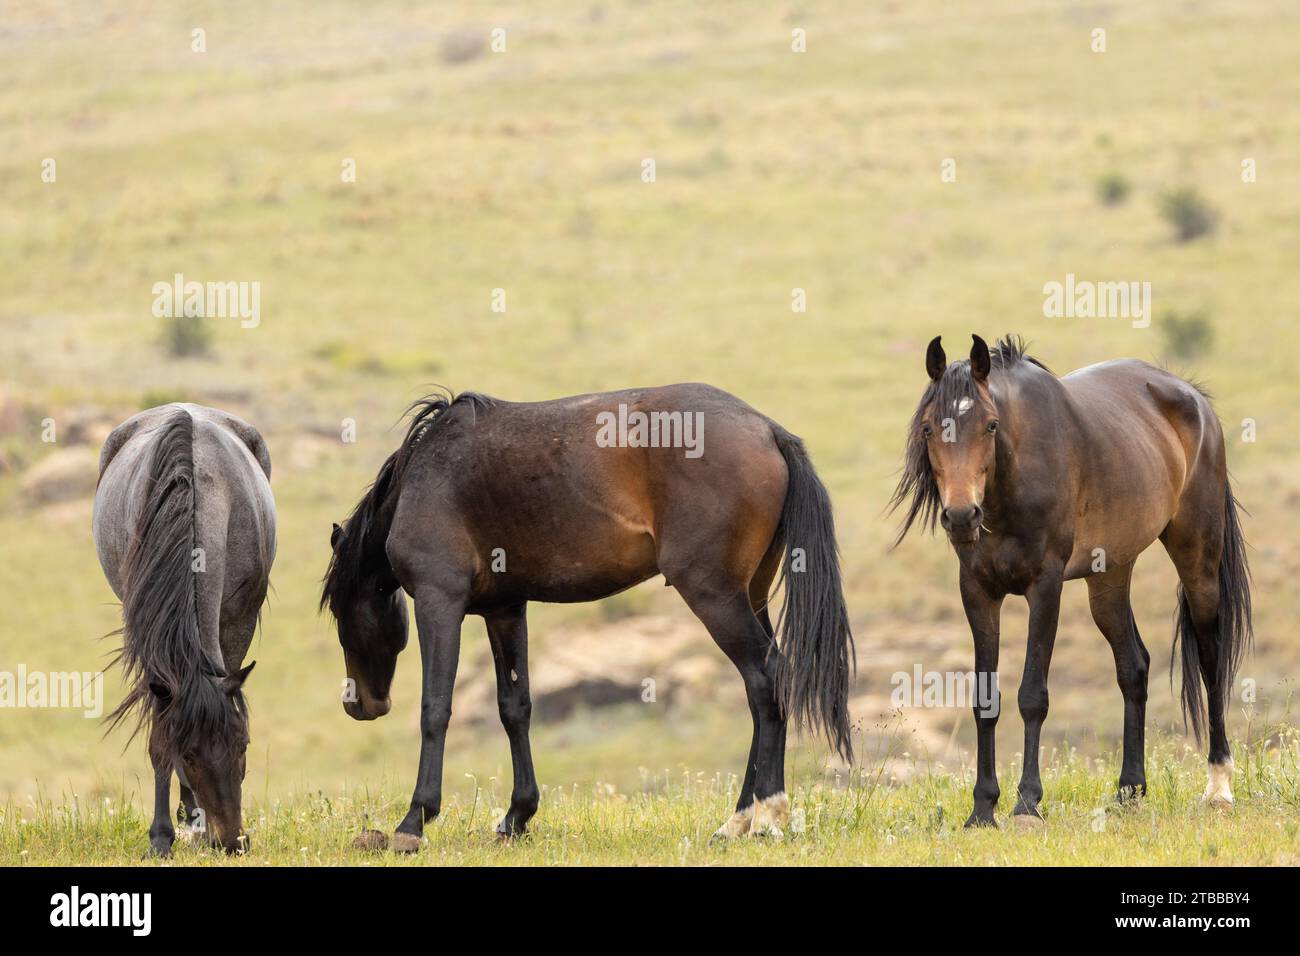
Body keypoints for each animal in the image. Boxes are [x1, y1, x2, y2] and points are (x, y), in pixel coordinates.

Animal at [93, 404, 276, 855]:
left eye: (242, 744)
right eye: (188, 756)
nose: (232, 841)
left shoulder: (238, 621)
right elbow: (159, 734)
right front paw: (161, 836)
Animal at [322, 385, 854, 850]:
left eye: (341, 614)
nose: (360, 704)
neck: (426, 477)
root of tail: (767, 430)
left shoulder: (439, 602)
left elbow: (435, 708)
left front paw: (414, 821)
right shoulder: (504, 609)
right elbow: (515, 708)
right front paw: (517, 816)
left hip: (715, 596)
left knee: (764, 683)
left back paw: (760, 815)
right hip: (751, 595)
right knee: (765, 687)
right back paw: (744, 818)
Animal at [891, 334, 1251, 827]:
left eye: (990, 426)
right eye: (929, 429)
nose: (963, 516)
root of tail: (1193, 397)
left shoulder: (1046, 587)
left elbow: (1032, 696)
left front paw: (1027, 803)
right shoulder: (978, 592)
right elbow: (985, 701)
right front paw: (983, 807)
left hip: (1197, 558)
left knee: (1212, 660)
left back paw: (1219, 787)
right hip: (1110, 576)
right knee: (1133, 667)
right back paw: (1129, 790)